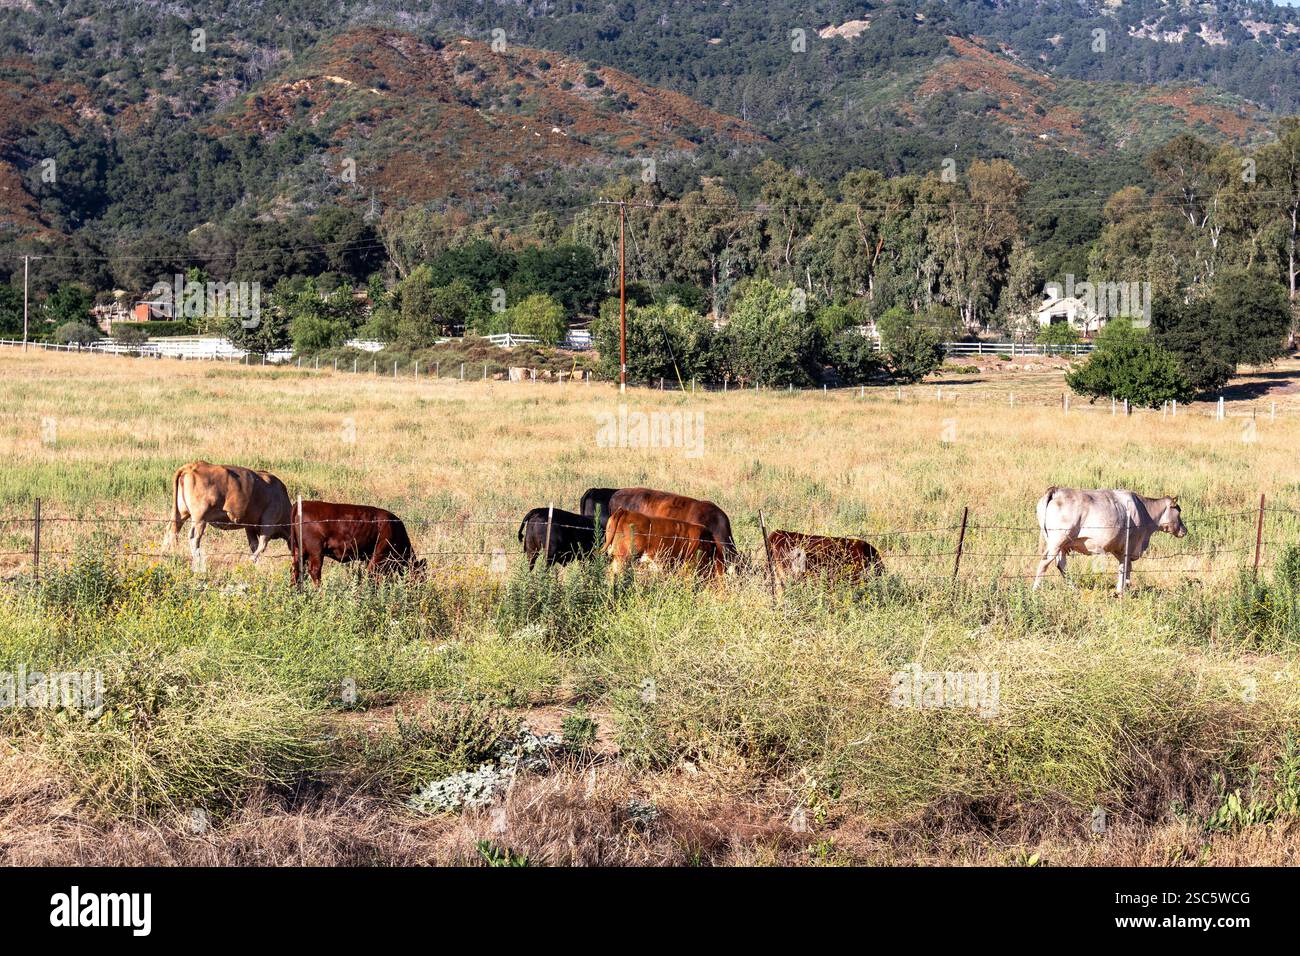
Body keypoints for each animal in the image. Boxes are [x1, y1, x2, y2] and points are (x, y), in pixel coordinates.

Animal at [163, 460, 292, 563]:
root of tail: (192, 466)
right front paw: (251, 561)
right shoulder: (268, 522)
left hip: (181, 513)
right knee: (194, 537)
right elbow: (262, 545)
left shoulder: (249, 526)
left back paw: (165, 555)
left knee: (171, 530)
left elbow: (254, 545)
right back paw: (197, 559)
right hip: (200, 518)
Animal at [289, 500, 425, 586]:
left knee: (295, 571)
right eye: (421, 576)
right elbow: (371, 574)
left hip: (298, 550)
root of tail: (304, 503)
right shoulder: (379, 555)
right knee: (315, 571)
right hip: (316, 551)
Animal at [1032, 486, 1187, 594]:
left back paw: (1074, 588)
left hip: (1063, 545)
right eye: (1178, 511)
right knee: (1044, 562)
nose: (1184, 530)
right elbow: (1126, 567)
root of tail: (1056, 490)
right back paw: (1035, 589)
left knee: (1061, 565)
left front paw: (1125, 587)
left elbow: (1124, 566)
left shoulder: (1117, 548)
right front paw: (1121, 590)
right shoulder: (1129, 544)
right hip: (1058, 540)